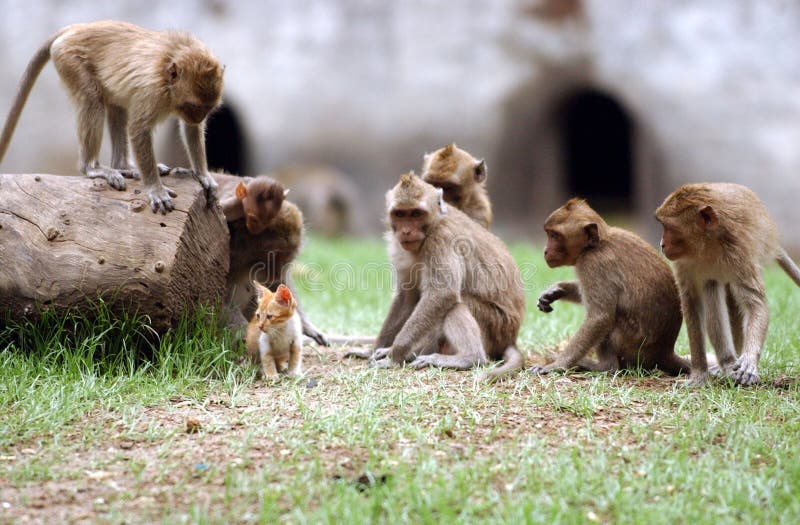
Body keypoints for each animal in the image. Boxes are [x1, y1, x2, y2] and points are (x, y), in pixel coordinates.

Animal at [0, 21, 223, 214]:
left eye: (206, 109)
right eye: (192, 106)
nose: (197, 117)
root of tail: (78, 27)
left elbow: (190, 129)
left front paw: (203, 175)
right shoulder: (152, 91)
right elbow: (139, 129)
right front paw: (155, 189)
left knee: (116, 106)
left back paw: (123, 166)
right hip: (69, 58)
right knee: (92, 99)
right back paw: (92, 168)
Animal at [360, 172, 525, 381]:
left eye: (416, 213)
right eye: (400, 214)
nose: (406, 231)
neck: (431, 227)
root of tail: (511, 338)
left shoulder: (442, 241)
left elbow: (441, 295)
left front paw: (394, 357)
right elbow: (407, 297)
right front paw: (375, 349)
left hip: (496, 326)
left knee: (455, 305)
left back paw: (468, 358)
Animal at [529, 198, 691, 376]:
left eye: (555, 235)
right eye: (549, 233)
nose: (545, 251)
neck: (596, 245)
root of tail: (664, 352)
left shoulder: (593, 264)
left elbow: (599, 317)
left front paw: (557, 365)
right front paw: (556, 291)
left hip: (632, 345)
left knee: (610, 323)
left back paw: (601, 366)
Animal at [655, 183, 800, 386]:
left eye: (669, 227)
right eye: (664, 226)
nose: (662, 244)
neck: (707, 245)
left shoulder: (740, 254)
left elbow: (754, 304)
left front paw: (749, 361)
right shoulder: (683, 262)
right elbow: (691, 302)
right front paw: (698, 374)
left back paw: (730, 364)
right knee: (711, 287)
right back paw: (726, 363)